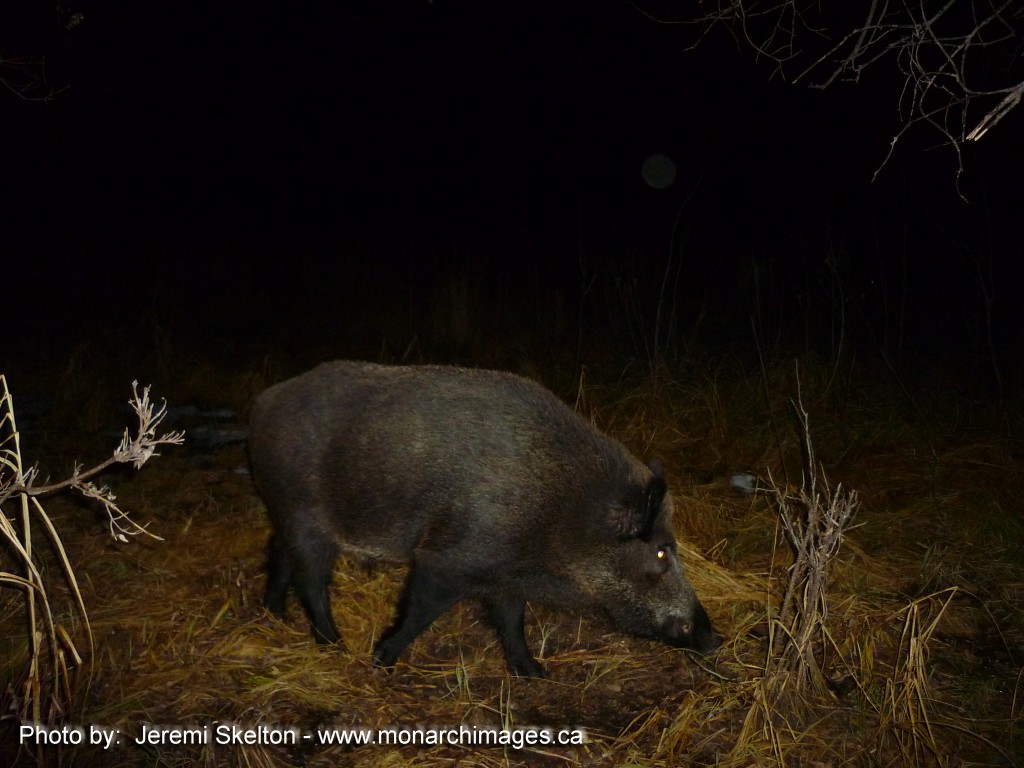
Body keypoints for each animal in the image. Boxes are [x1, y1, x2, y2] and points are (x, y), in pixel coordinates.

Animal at [248, 361, 719, 677]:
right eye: (661, 552)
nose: (715, 638)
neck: (560, 518)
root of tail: (263, 404)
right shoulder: (448, 557)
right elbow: (421, 611)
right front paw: (382, 661)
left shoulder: (504, 573)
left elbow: (513, 619)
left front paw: (534, 673)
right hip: (306, 515)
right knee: (312, 579)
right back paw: (335, 645)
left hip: (288, 513)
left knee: (279, 551)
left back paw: (275, 615)